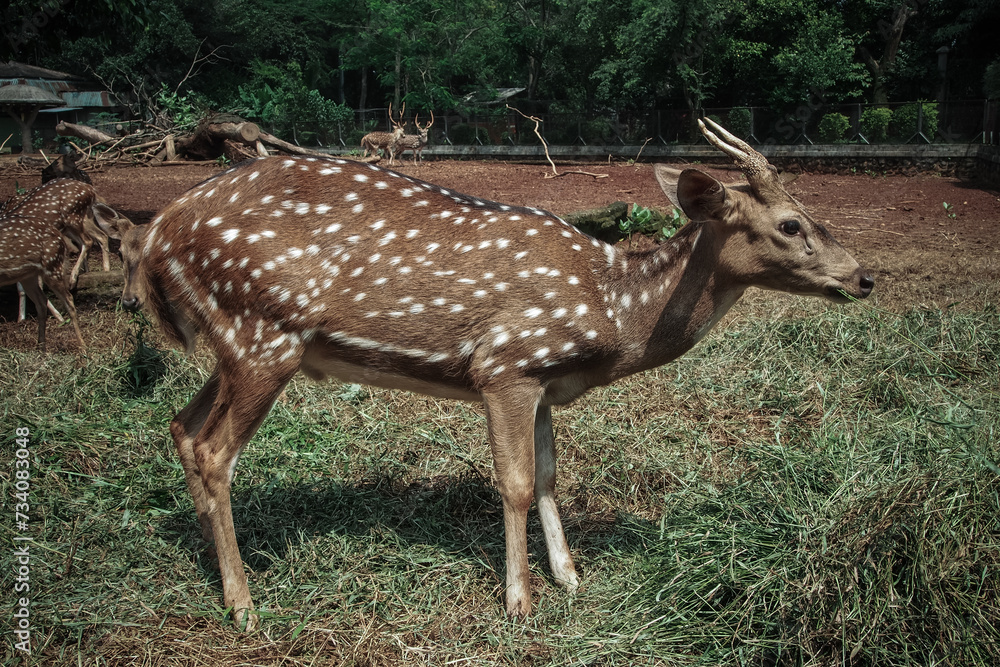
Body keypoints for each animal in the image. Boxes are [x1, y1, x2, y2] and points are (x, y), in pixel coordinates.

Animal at [96, 118, 873, 630]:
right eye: (791, 223)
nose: (864, 277)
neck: (614, 313)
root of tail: (156, 233)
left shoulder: (548, 383)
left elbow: (554, 474)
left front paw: (570, 576)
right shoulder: (506, 364)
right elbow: (518, 482)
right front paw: (520, 601)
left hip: (235, 345)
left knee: (180, 424)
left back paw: (213, 565)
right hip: (263, 333)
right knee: (212, 449)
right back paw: (242, 601)